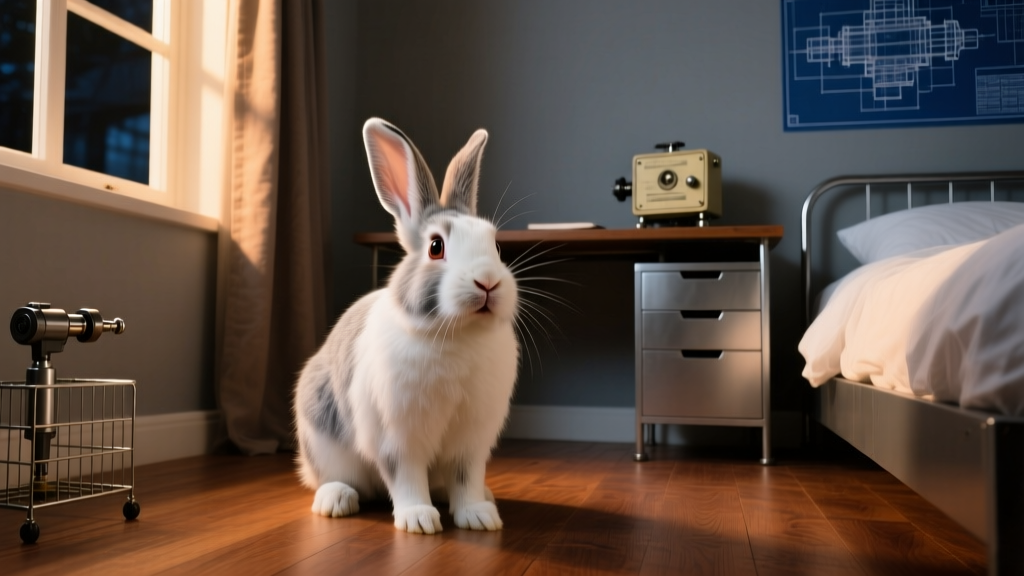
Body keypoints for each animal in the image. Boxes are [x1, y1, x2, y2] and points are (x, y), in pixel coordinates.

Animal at [294, 118, 519, 534]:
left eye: (495, 247)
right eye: (435, 247)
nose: (488, 282)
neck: (458, 333)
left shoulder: (471, 442)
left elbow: (466, 478)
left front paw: (478, 517)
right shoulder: (399, 437)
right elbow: (406, 477)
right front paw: (419, 520)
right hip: (322, 439)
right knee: (333, 479)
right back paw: (336, 500)